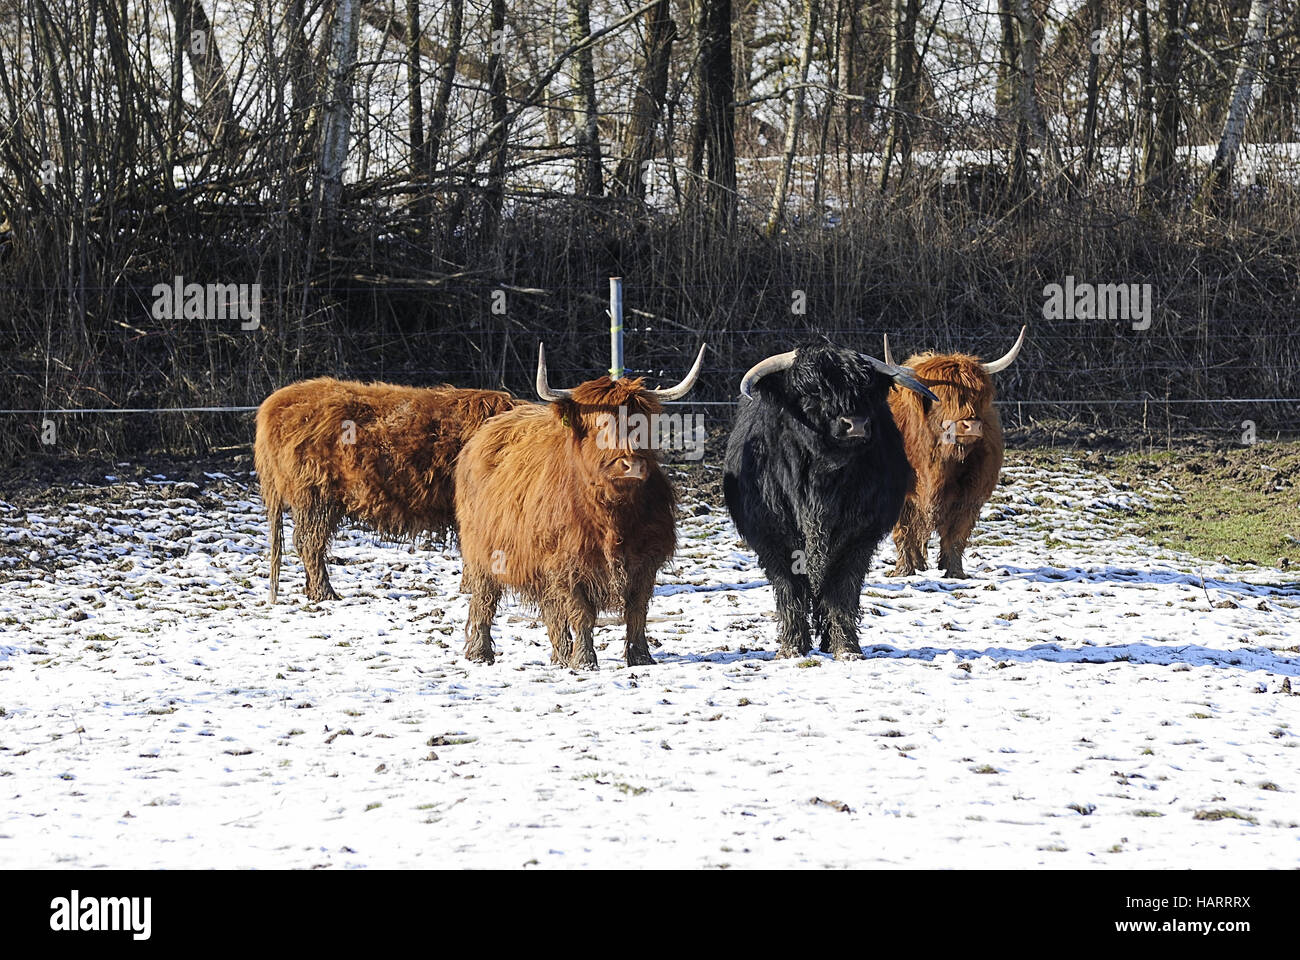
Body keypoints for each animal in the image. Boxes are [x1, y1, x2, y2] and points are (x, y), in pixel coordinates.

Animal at [454, 343, 706, 669]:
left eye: (641, 423)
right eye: (600, 423)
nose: (632, 464)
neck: (614, 515)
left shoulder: (645, 561)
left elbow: (637, 610)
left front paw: (641, 657)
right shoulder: (566, 562)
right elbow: (581, 612)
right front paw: (585, 660)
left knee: (551, 609)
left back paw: (561, 656)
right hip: (482, 550)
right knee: (484, 599)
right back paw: (480, 653)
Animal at [723, 342, 939, 660]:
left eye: (864, 389)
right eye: (812, 390)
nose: (856, 424)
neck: (820, 482)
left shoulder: (858, 539)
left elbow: (840, 593)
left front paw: (846, 648)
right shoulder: (773, 537)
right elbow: (790, 590)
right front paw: (792, 648)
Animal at [882, 326, 1026, 579]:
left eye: (977, 397)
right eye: (941, 398)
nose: (972, 426)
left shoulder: (971, 496)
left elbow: (956, 534)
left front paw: (954, 571)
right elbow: (904, 530)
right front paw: (904, 570)